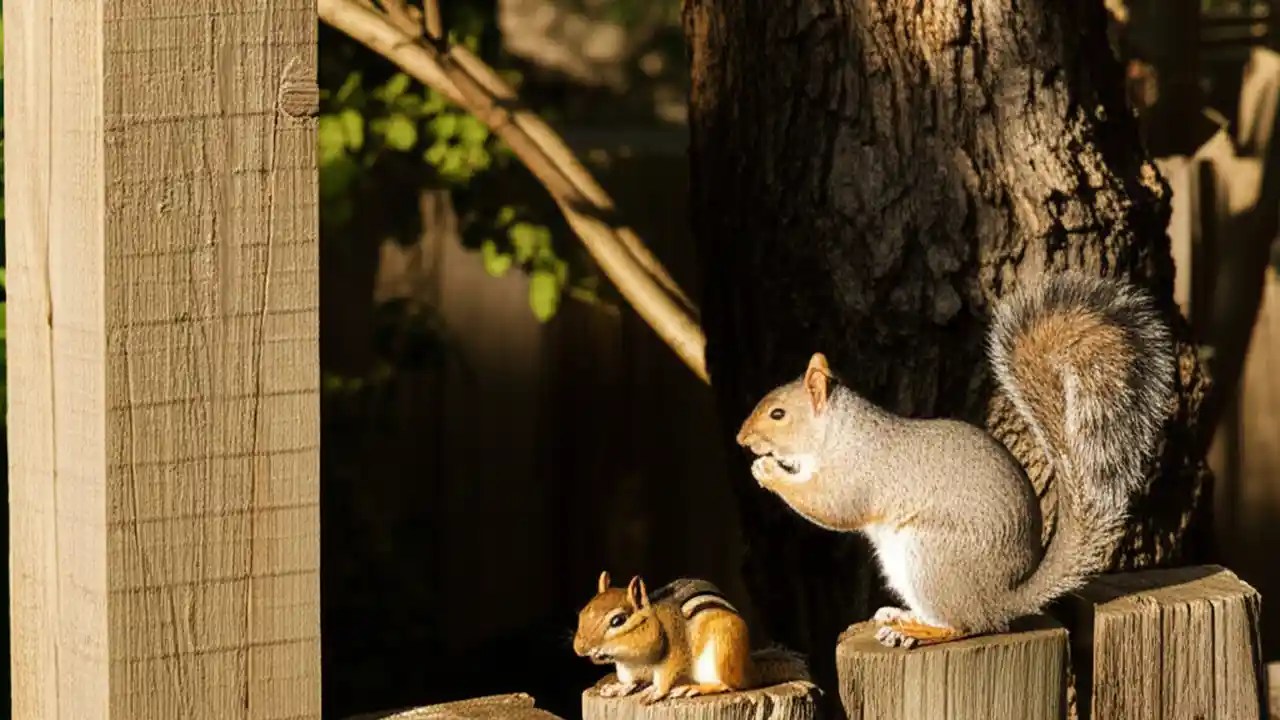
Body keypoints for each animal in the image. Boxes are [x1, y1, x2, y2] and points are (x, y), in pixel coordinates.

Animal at [572, 571, 808, 703]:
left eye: (617, 620)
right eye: (582, 612)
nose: (579, 649)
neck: (633, 657)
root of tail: (750, 670)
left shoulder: (674, 651)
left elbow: (666, 676)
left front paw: (655, 692)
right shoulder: (627, 668)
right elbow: (630, 681)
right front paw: (618, 688)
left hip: (722, 651)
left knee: (729, 685)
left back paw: (694, 687)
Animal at [735, 272, 1175, 649]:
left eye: (778, 414)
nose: (741, 439)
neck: (837, 434)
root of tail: (1001, 598)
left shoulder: (858, 472)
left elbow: (830, 506)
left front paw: (768, 472)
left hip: (932, 558)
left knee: (968, 625)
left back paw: (919, 631)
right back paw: (902, 615)